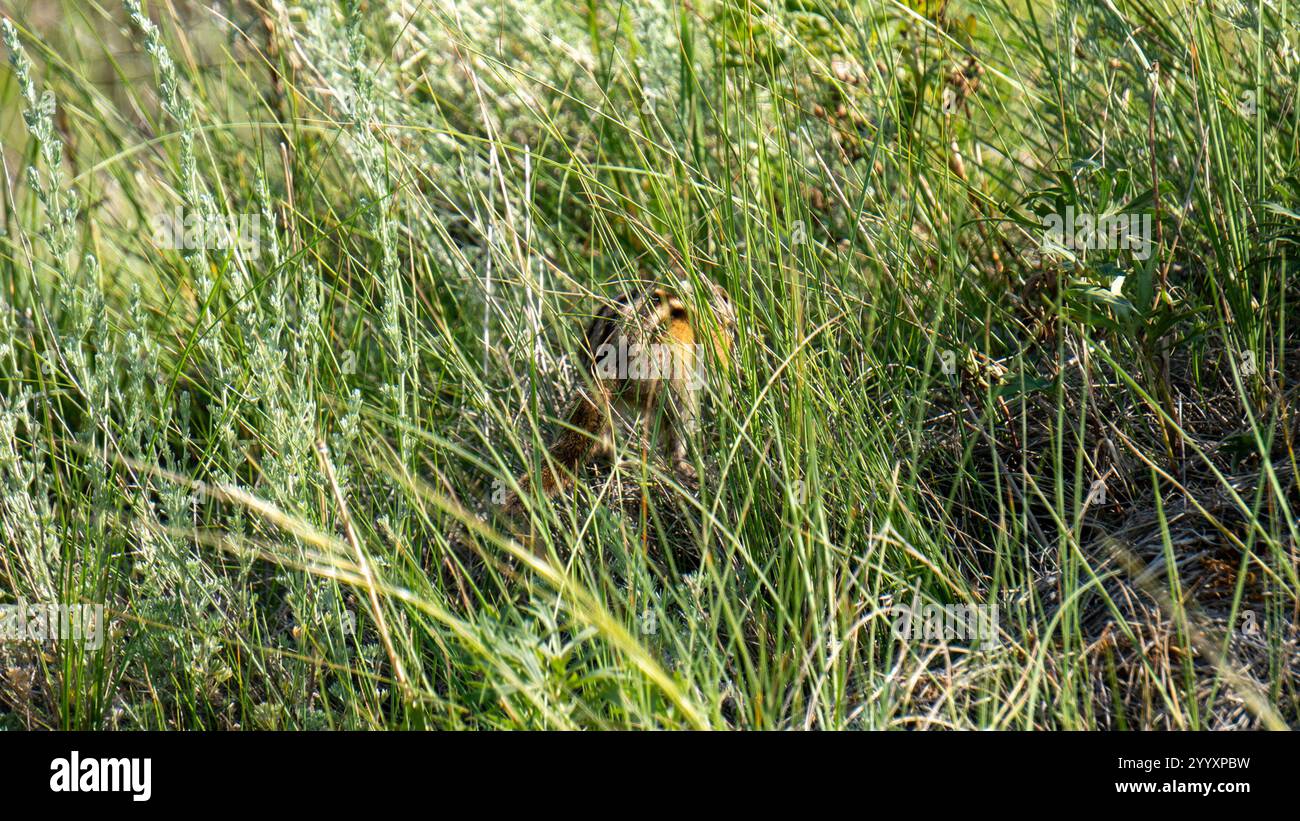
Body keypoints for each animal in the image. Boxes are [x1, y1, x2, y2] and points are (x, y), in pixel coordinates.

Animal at [499, 279, 735, 520]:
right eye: (724, 299)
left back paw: (620, 462)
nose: (727, 296)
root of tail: (607, 367)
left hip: (612, 403)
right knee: (676, 429)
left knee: (605, 435)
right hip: (675, 388)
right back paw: (683, 467)